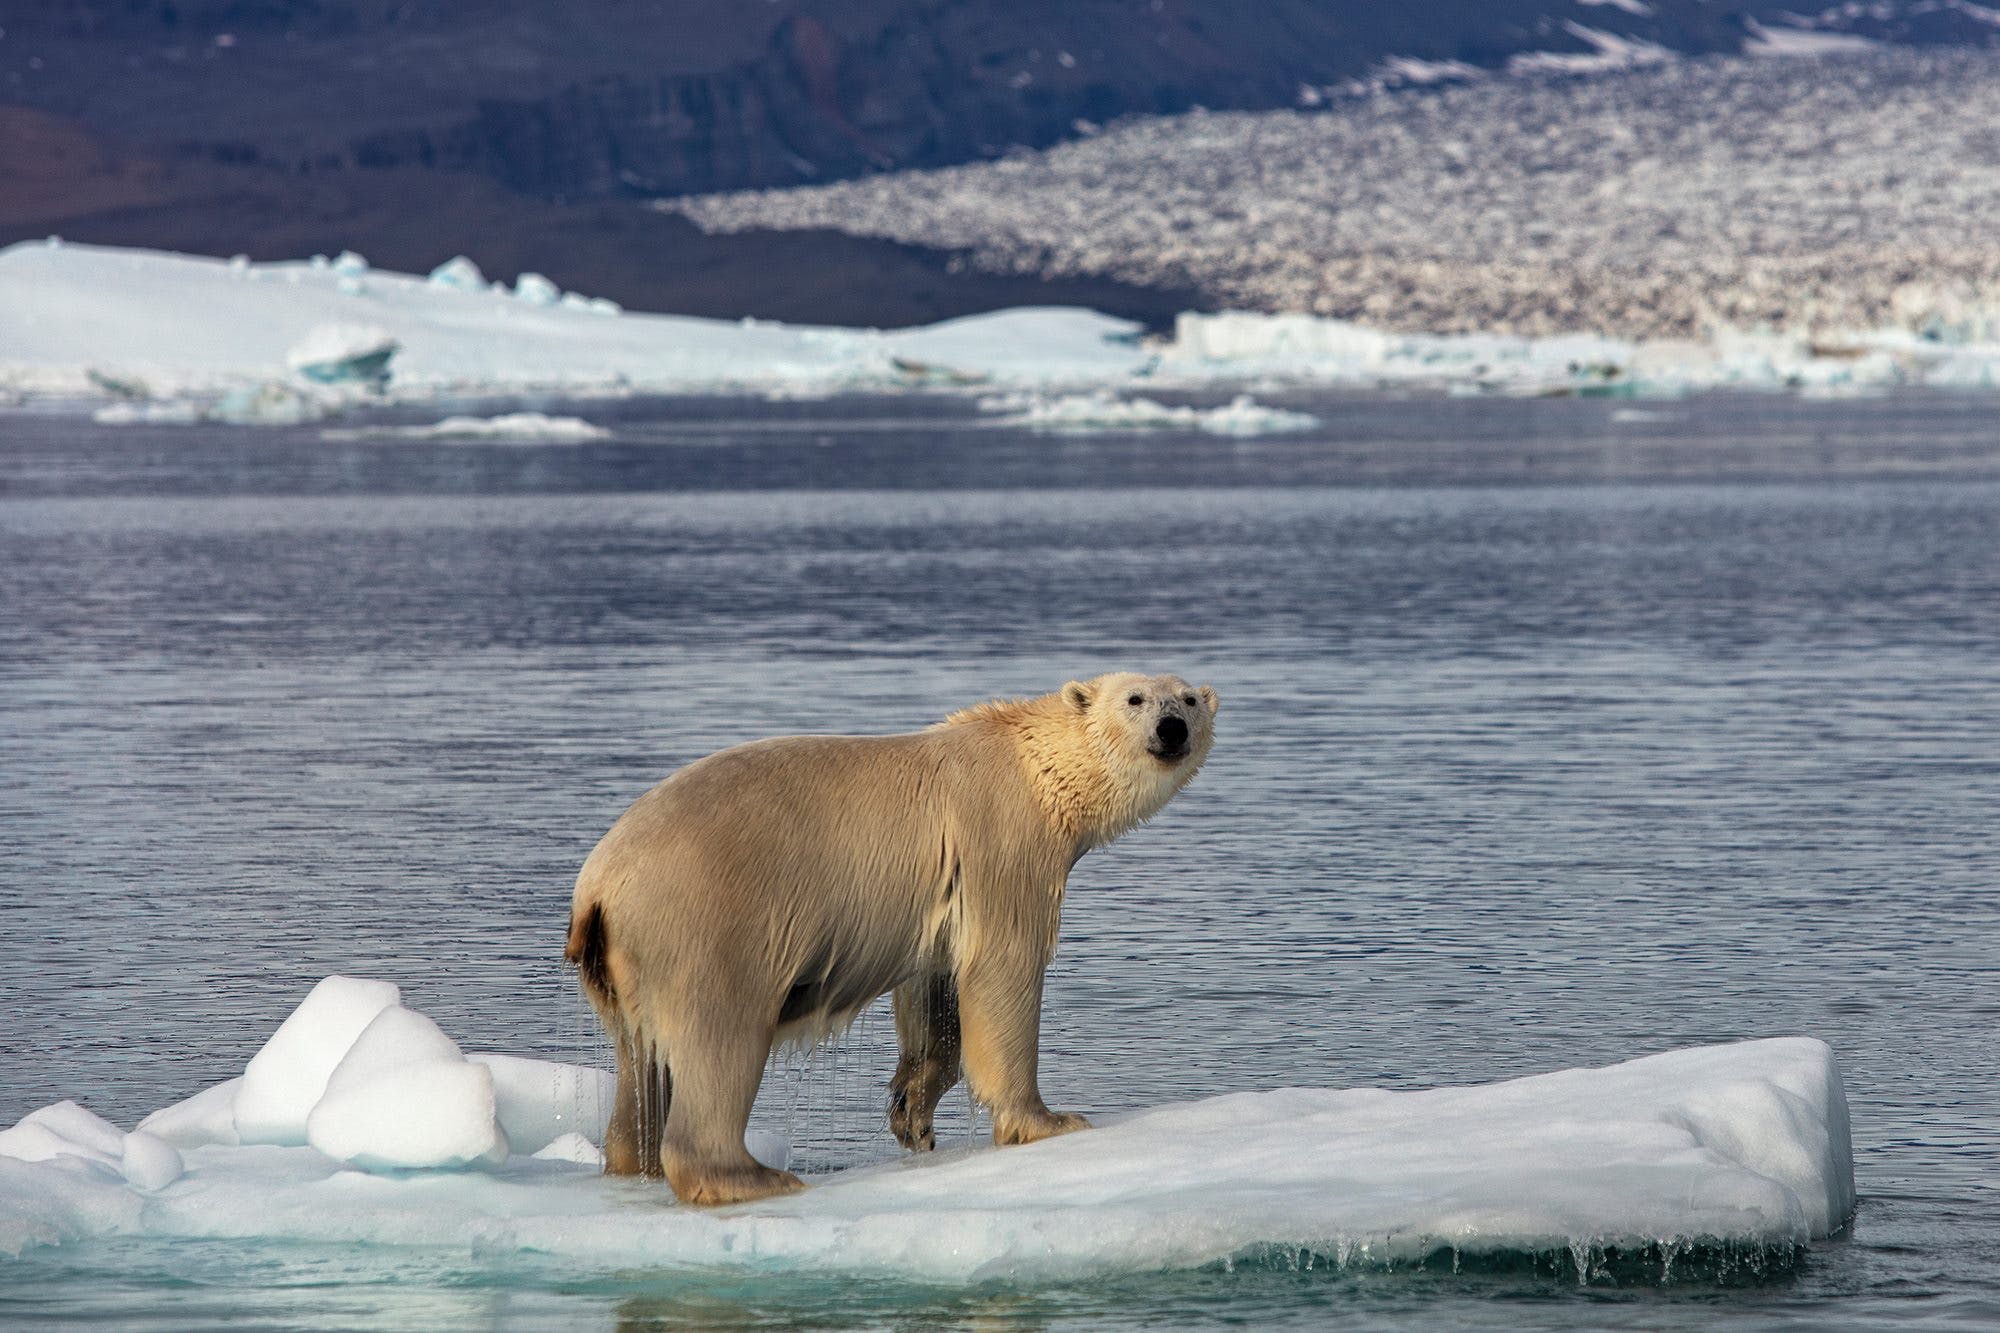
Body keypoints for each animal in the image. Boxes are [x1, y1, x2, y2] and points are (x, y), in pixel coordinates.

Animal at [563, 671, 1218, 1205]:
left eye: (1188, 698)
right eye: (1135, 699)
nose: (1172, 728)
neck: (1032, 764)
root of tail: (597, 891)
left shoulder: (944, 894)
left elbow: (936, 994)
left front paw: (914, 1116)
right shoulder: (1001, 841)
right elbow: (1002, 969)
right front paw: (1049, 1121)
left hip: (629, 963)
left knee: (643, 1066)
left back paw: (635, 1162)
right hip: (708, 923)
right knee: (718, 1040)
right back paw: (755, 1177)